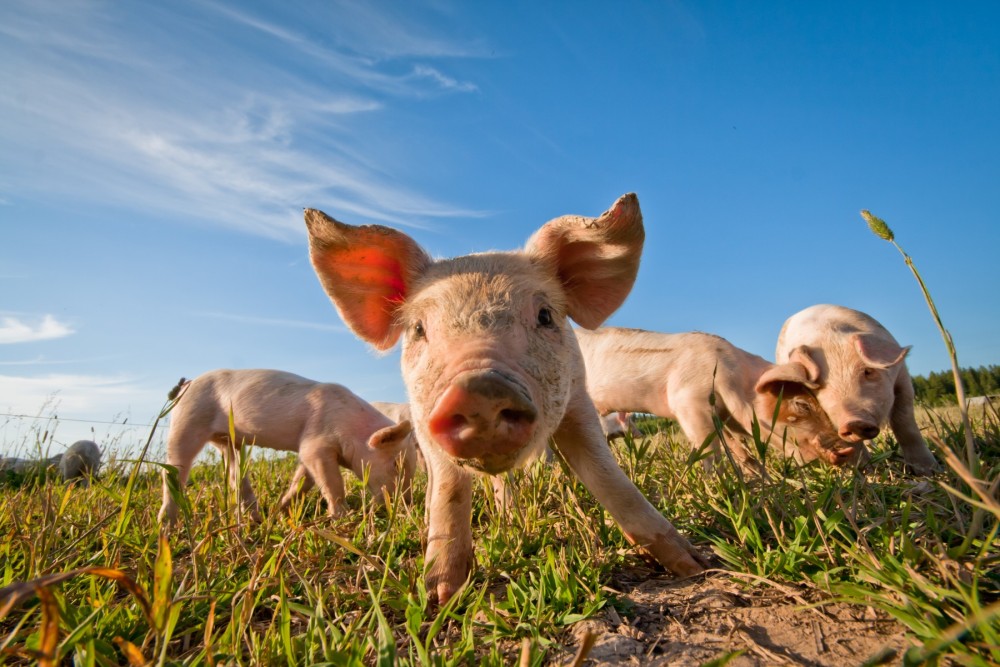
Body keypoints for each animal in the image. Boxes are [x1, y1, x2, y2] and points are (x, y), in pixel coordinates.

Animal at [157, 369, 417, 524]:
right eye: (396, 464)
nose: (407, 503)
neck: (352, 428)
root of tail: (187, 384)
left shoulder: (309, 450)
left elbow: (303, 480)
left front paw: (280, 510)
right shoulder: (316, 442)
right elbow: (331, 481)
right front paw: (343, 517)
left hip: (228, 441)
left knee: (235, 474)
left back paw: (256, 517)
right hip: (187, 419)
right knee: (173, 470)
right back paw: (166, 524)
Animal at [304, 193, 707, 604]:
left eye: (545, 315)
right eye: (418, 329)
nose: (478, 389)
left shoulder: (578, 398)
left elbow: (606, 474)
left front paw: (694, 566)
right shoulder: (423, 418)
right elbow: (449, 489)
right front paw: (441, 596)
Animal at [576, 328, 864, 469]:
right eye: (802, 404)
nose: (849, 452)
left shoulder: (722, 415)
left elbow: (741, 452)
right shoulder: (688, 401)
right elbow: (710, 452)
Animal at [775, 304, 940, 475]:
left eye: (868, 371)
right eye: (818, 387)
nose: (853, 422)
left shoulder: (902, 376)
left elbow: (905, 422)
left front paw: (929, 471)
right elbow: (850, 443)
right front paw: (868, 472)